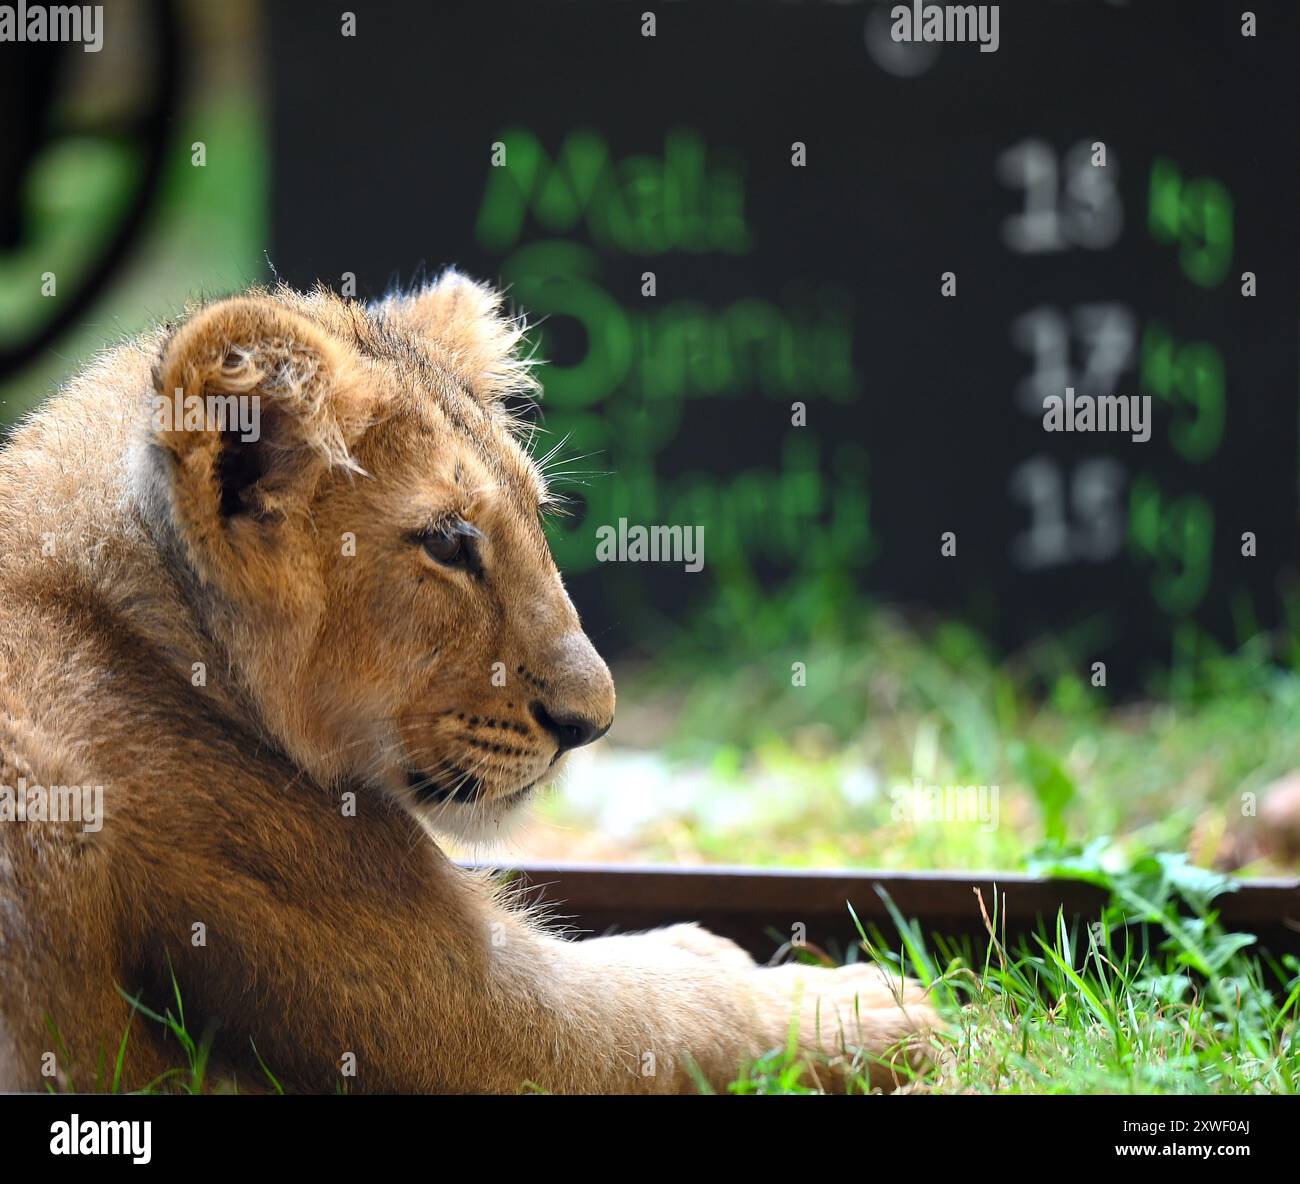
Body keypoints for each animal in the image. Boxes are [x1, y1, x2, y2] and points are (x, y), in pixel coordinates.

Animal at [0, 272, 935, 1093]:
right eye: (448, 543)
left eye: (535, 516)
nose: (592, 722)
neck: (147, 631)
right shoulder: (456, 1008)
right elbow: (669, 1012)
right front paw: (868, 1008)